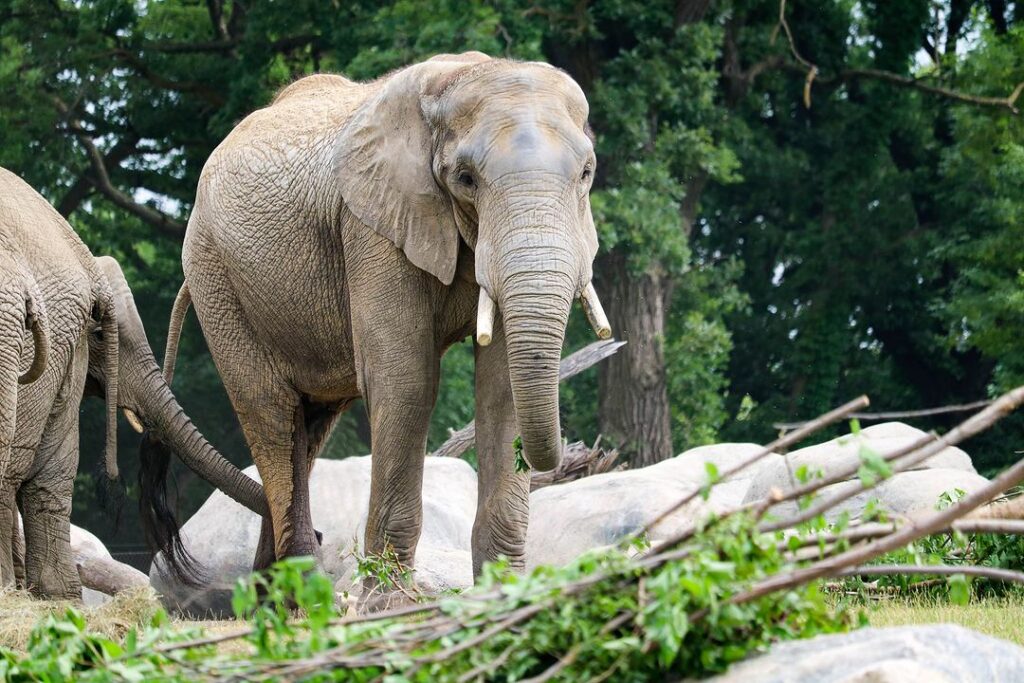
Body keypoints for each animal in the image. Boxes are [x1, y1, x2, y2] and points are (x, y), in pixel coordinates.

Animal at [154, 52, 611, 585]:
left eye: (587, 173)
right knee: (270, 412)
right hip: (216, 278)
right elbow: (405, 380)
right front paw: (388, 596)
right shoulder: (370, 228)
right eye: (465, 179)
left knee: (307, 429)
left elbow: (501, 387)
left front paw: (505, 591)